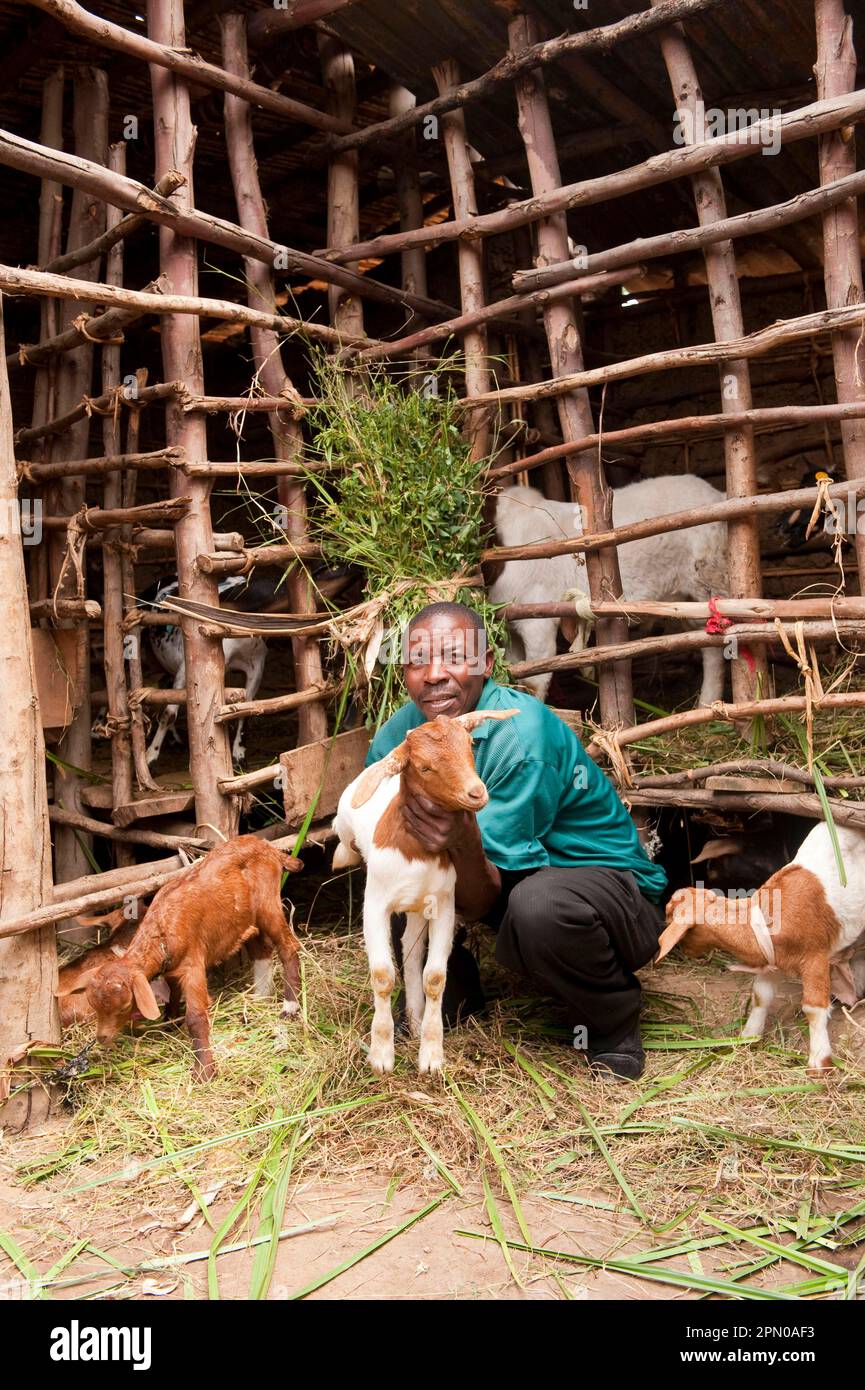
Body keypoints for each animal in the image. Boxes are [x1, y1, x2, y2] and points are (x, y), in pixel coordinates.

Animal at [55, 837, 303, 1080]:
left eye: (125, 1006)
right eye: (93, 1005)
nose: (102, 1038)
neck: (162, 931)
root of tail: (267, 846)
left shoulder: (193, 965)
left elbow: (195, 1017)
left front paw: (204, 1072)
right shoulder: (171, 968)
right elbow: (173, 995)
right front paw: (169, 1023)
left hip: (268, 902)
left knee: (288, 946)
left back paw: (290, 1006)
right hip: (246, 917)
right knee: (261, 948)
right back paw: (261, 996)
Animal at [332, 710, 518, 1075]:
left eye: (470, 744)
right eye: (423, 767)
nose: (476, 793)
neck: (413, 850)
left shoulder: (443, 905)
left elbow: (433, 976)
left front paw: (431, 1054)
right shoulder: (374, 906)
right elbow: (382, 975)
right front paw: (381, 1055)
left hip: (419, 907)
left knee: (410, 951)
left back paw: (416, 1020)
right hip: (347, 825)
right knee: (343, 836)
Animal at [489, 477, 729, 705]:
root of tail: (718, 493)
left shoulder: (536, 620)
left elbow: (533, 682)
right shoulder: (509, 630)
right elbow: (513, 671)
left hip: (711, 580)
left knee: (717, 645)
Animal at [656, 822, 865, 1074]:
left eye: (669, 914)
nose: (684, 952)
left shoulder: (816, 958)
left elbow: (813, 1009)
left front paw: (819, 1063)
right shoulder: (773, 963)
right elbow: (760, 996)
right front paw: (748, 1037)